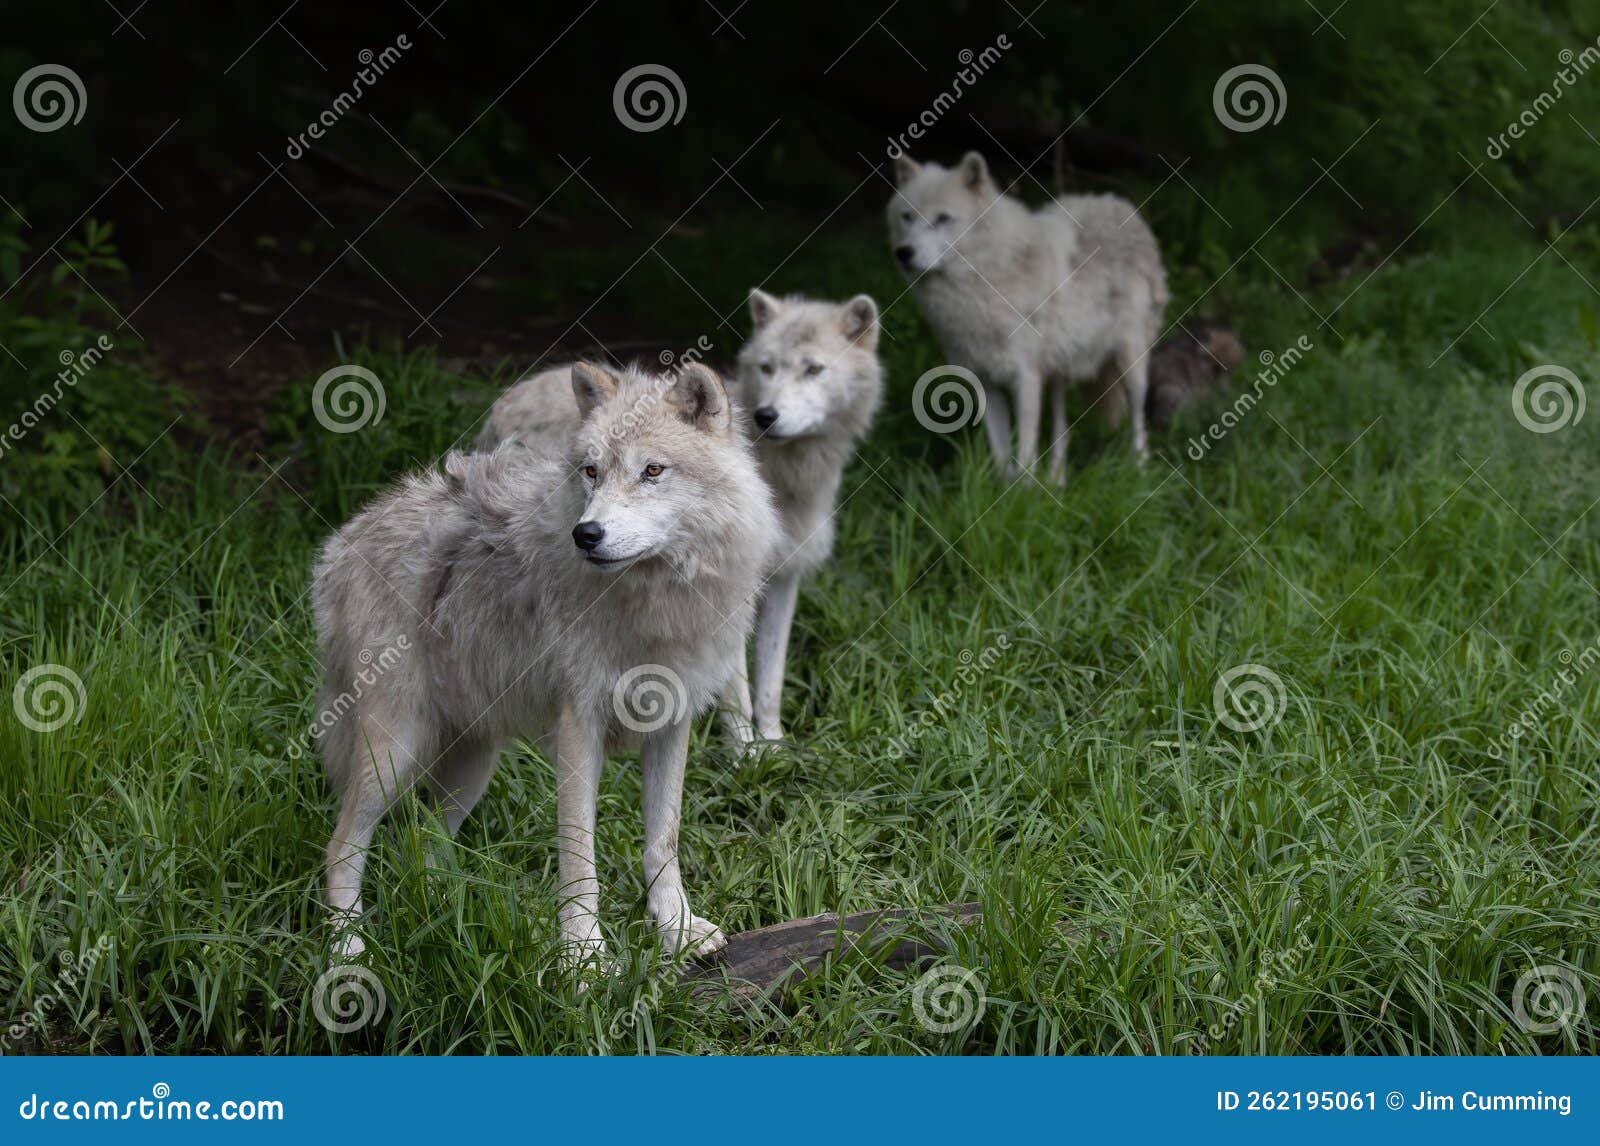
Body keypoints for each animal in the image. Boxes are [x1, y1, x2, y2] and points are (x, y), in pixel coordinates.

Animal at [313, 362, 779, 967]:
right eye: (591, 472)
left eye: (652, 470)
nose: (586, 534)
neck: (653, 601)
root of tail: (342, 541)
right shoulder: (579, 728)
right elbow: (580, 859)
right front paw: (585, 962)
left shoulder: (671, 727)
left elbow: (663, 841)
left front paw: (676, 929)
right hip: (394, 752)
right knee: (342, 846)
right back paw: (349, 954)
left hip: (473, 763)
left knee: (426, 842)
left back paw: (448, 916)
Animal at [478, 291, 883, 745]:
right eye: (767, 368)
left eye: (813, 369)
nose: (767, 415)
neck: (784, 483)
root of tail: (508, 397)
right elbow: (736, 694)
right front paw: (747, 754)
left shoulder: (782, 579)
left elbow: (770, 682)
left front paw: (775, 744)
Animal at [888, 151, 1168, 484]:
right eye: (906, 217)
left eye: (943, 218)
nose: (903, 253)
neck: (985, 279)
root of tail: (1124, 208)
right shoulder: (986, 382)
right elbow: (1000, 452)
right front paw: (1001, 491)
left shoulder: (1025, 379)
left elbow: (1024, 452)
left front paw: (1024, 493)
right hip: (1059, 368)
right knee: (1062, 428)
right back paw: (1058, 480)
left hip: (1130, 364)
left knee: (1138, 422)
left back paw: (1140, 471)